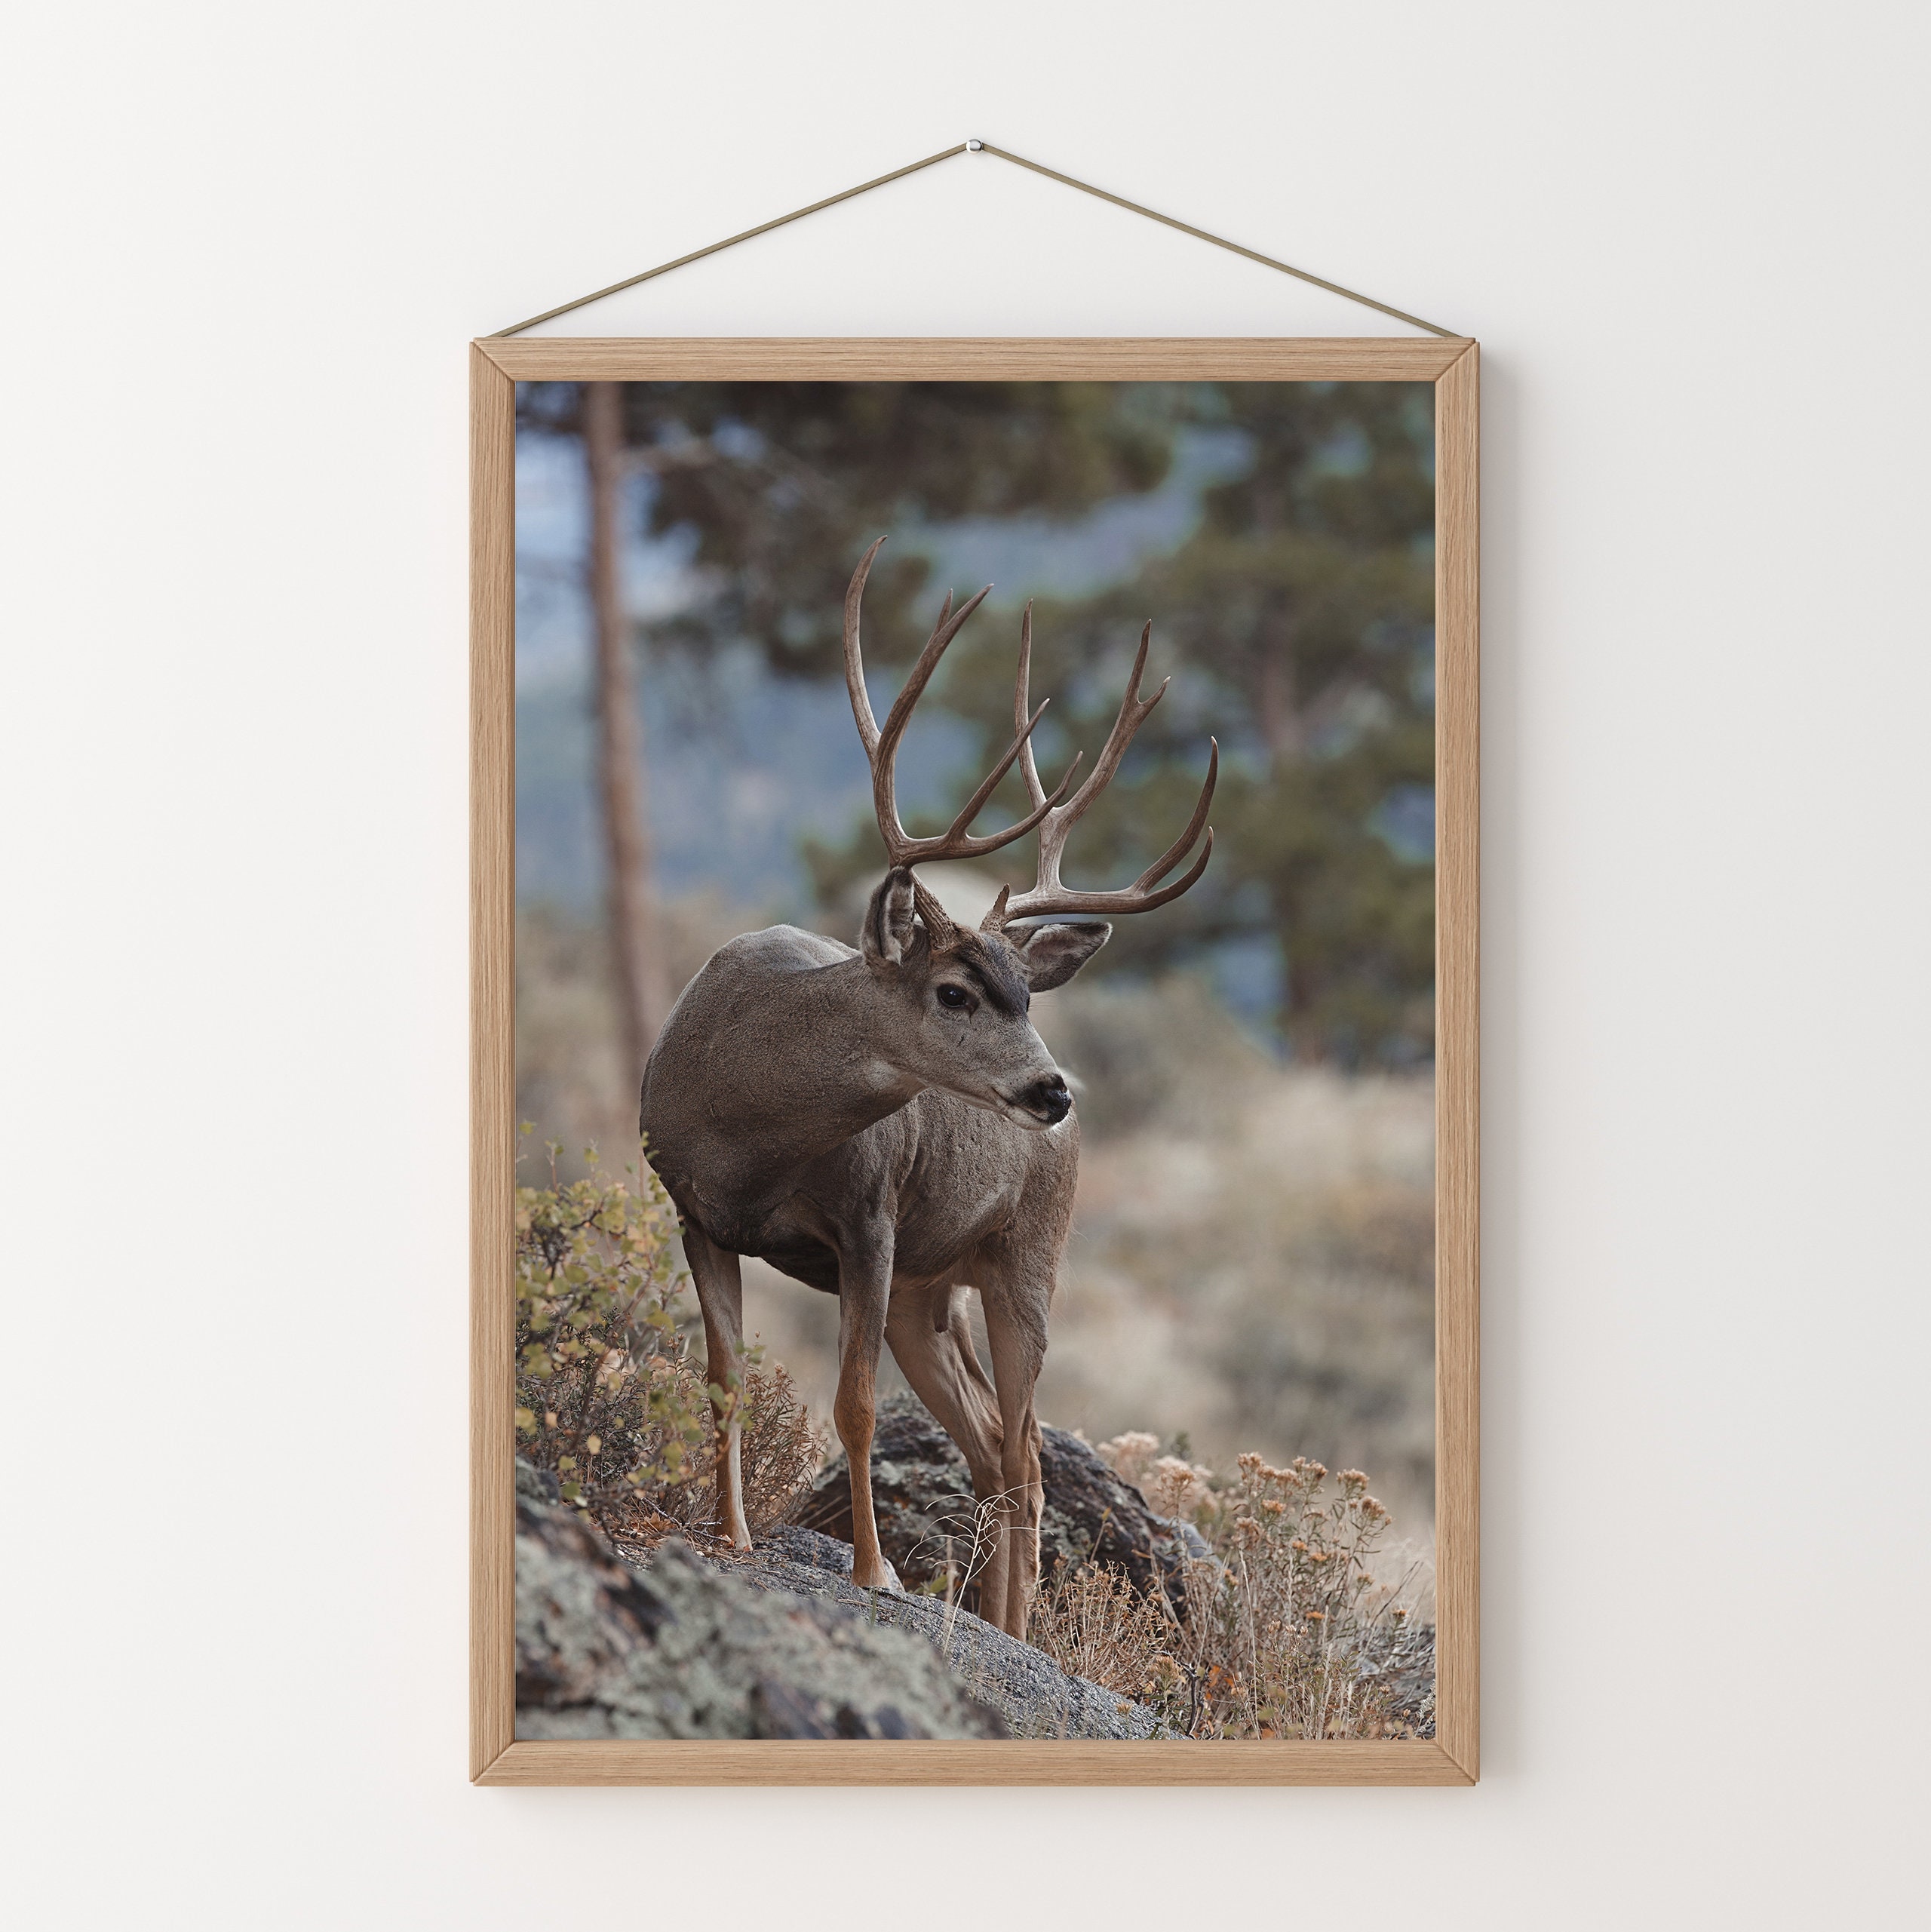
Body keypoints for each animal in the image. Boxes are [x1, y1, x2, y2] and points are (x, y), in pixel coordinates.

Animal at [639, 536, 1217, 1637]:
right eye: (956, 990)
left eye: (1025, 990)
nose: (1052, 1091)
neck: (748, 1130)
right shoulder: (695, 1212)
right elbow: (725, 1378)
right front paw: (728, 1536)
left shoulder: (870, 1218)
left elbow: (854, 1403)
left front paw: (876, 1573)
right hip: (929, 1289)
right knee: (990, 1442)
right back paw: (991, 1614)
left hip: (1026, 1253)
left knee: (1026, 1451)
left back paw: (1014, 1628)